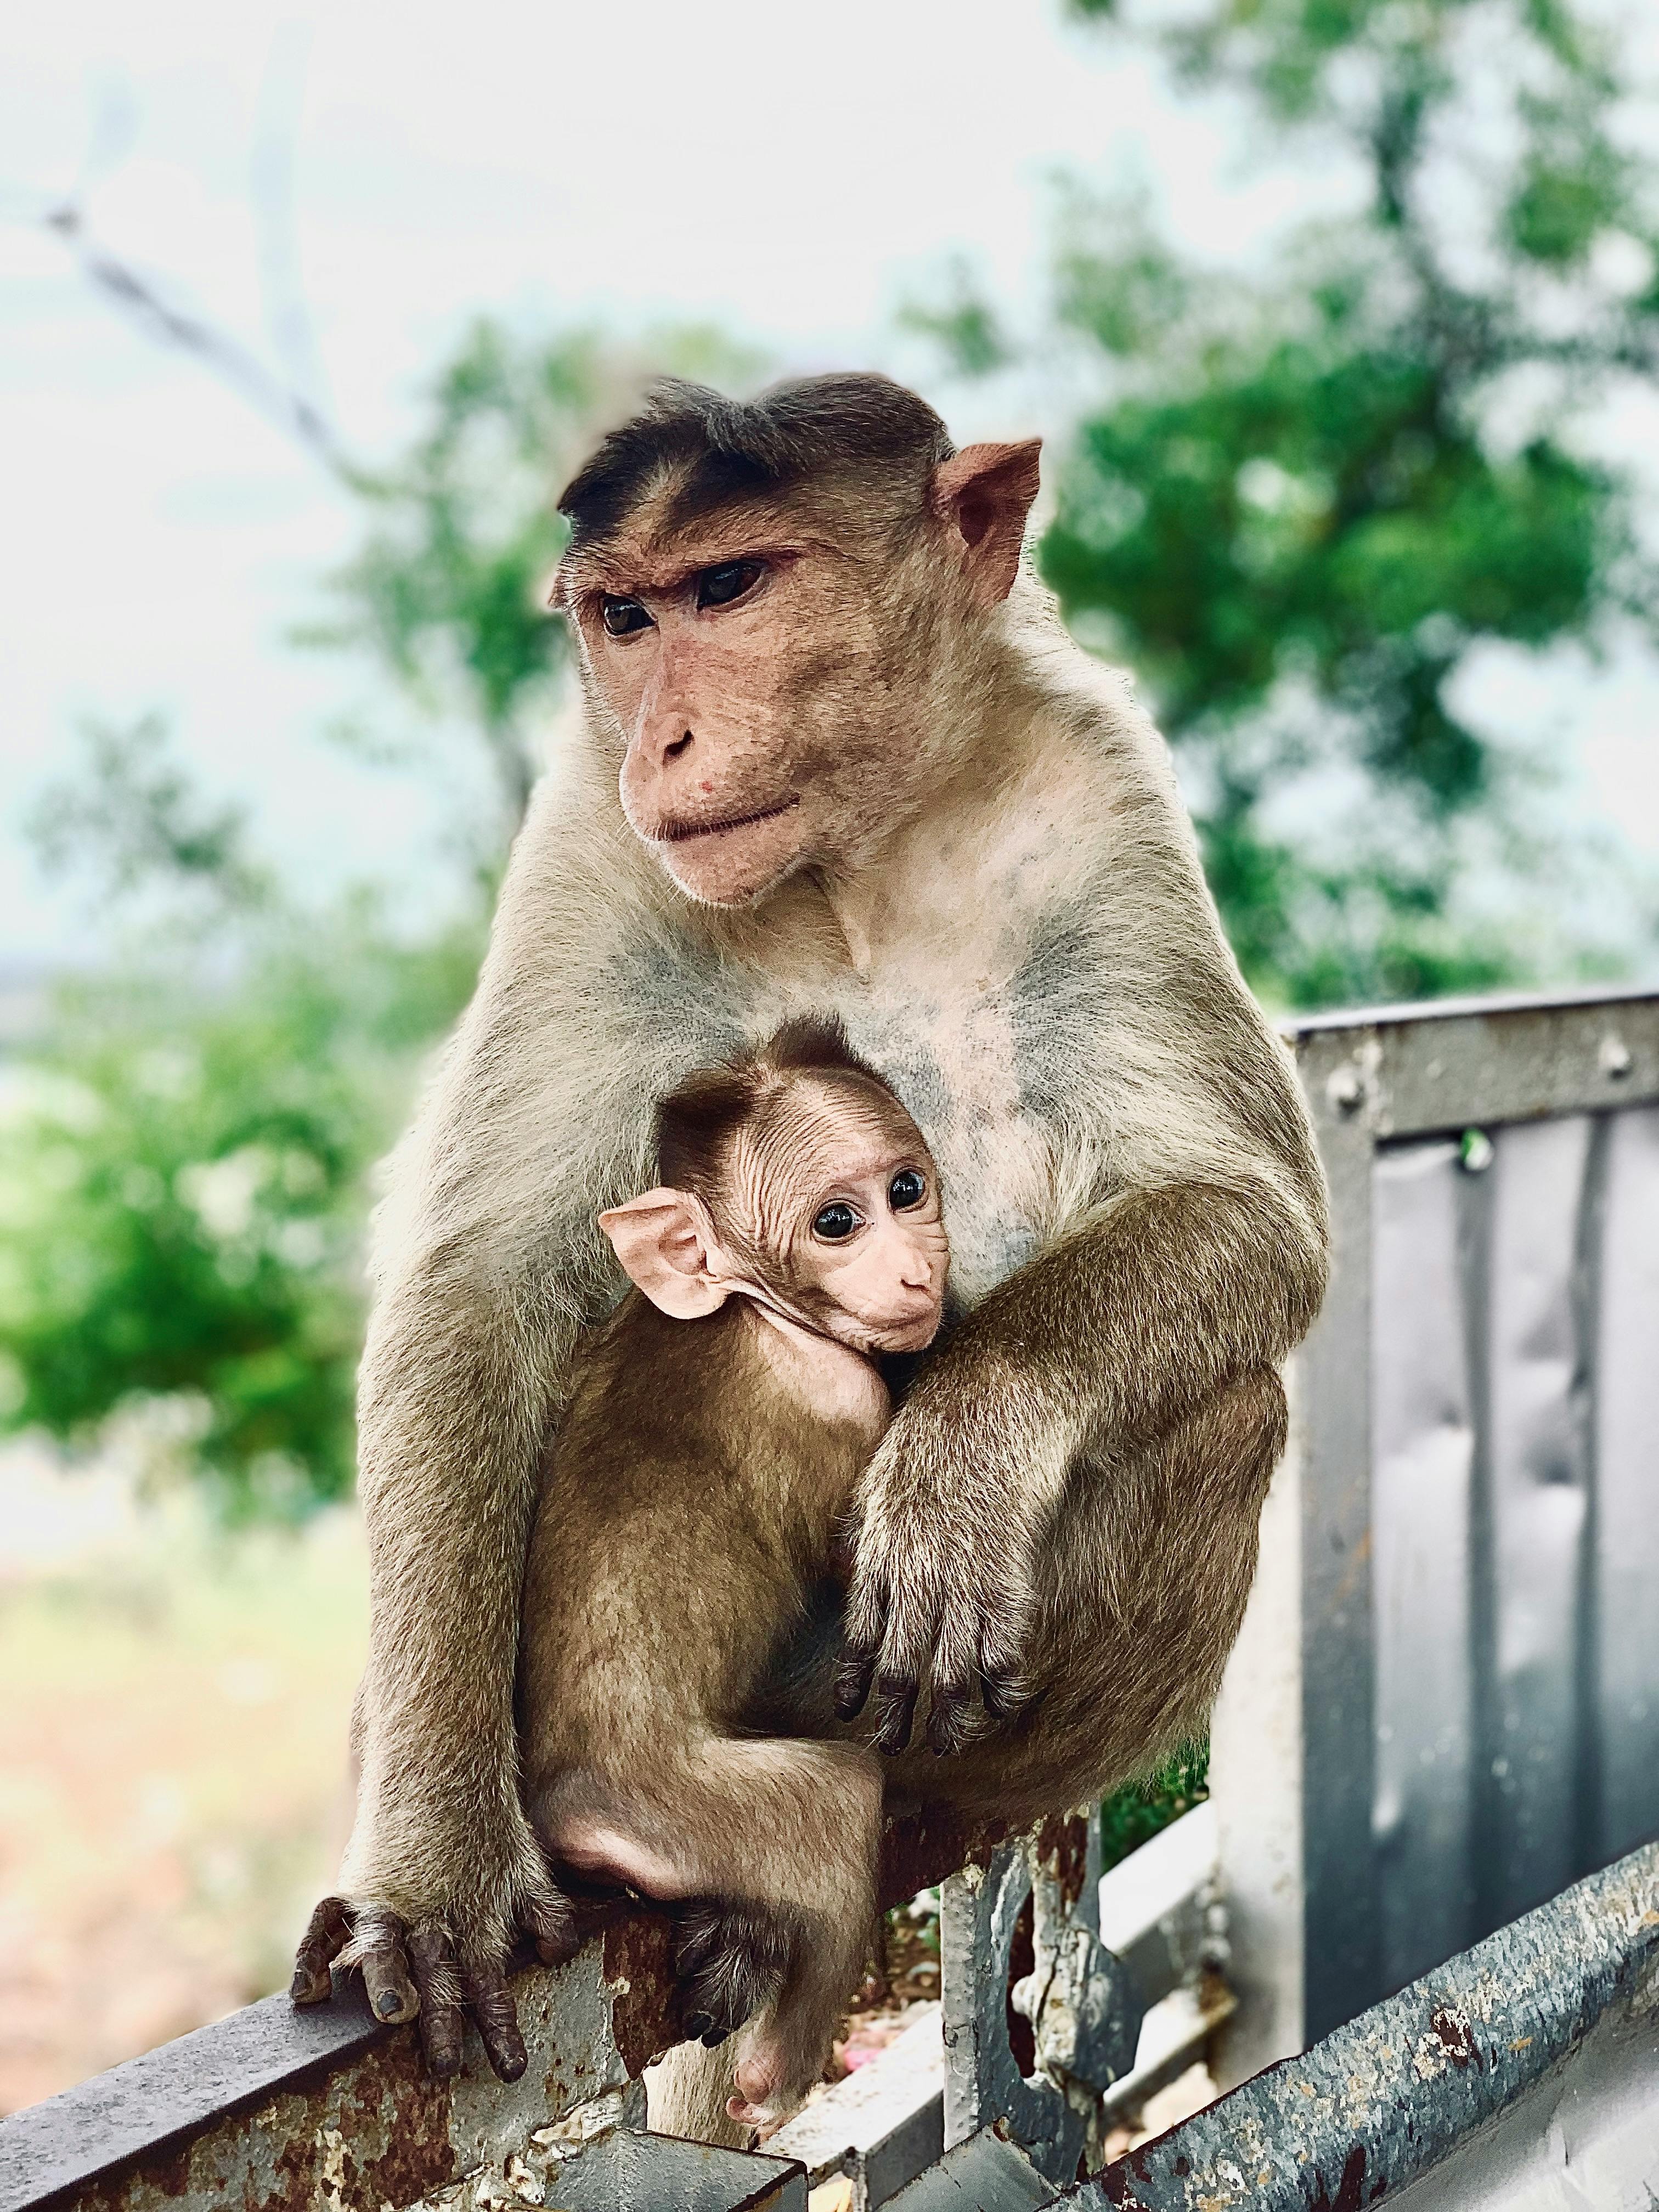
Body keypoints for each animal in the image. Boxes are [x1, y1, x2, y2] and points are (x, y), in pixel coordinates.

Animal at [516, 1015, 947, 2130]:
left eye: (907, 1190)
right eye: (836, 1221)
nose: (914, 1272)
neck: (753, 1307)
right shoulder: (837, 1396)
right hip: (687, 1805)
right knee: (837, 1801)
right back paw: (775, 2071)